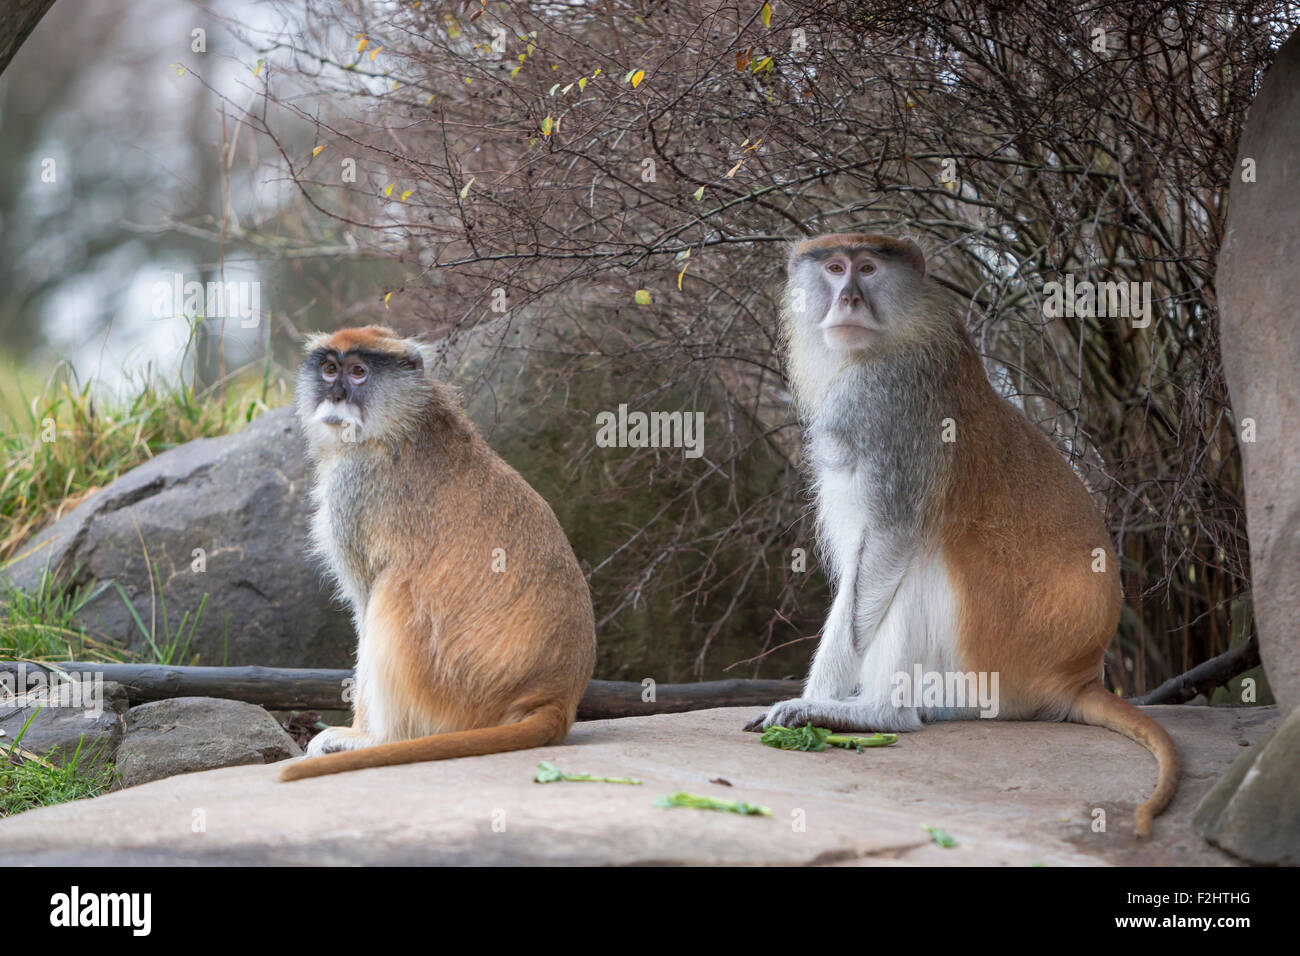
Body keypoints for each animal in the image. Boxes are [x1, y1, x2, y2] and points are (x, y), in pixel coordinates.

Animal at [279, 325, 596, 782]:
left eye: (358, 372)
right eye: (329, 370)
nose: (335, 395)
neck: (403, 420)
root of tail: (554, 697)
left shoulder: (353, 487)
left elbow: (365, 604)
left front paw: (356, 733)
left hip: (449, 694)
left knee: (391, 591)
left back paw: (382, 739)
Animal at [746, 234, 1179, 838]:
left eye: (868, 267)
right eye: (834, 268)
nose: (849, 297)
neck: (907, 329)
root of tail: (1076, 678)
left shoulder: (881, 404)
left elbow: (888, 549)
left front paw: (816, 701)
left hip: (995, 659)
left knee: (924, 563)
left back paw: (881, 713)